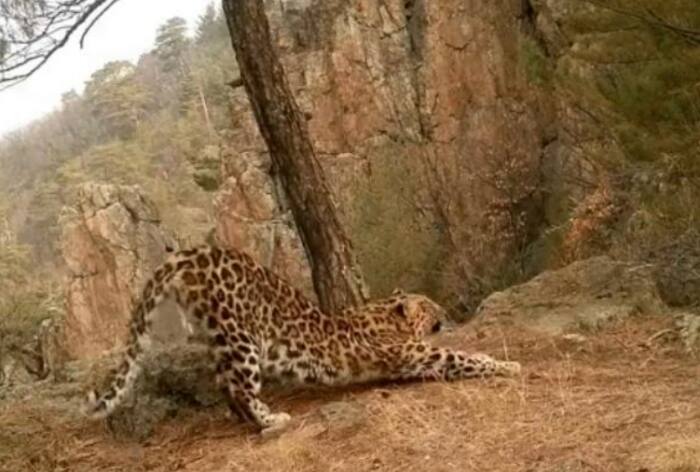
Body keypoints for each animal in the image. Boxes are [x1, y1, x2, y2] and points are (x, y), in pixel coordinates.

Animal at [83, 245, 520, 434]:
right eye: (429, 306)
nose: (445, 311)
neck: (384, 315)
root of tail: (188, 253)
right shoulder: (414, 356)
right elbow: (462, 357)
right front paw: (508, 364)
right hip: (242, 338)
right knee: (240, 387)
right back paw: (272, 420)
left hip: (218, 336)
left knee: (224, 384)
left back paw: (248, 421)